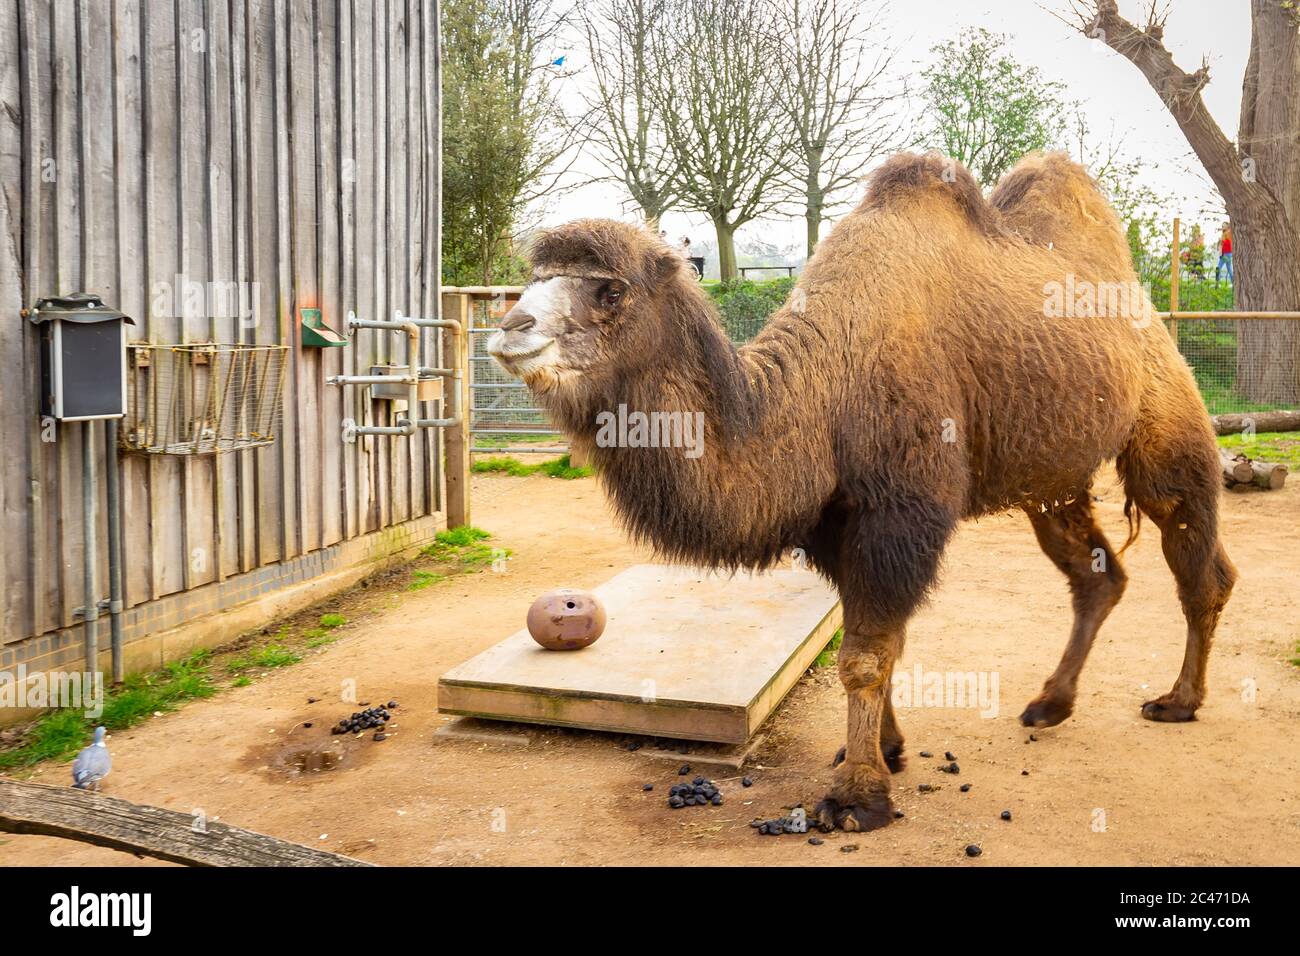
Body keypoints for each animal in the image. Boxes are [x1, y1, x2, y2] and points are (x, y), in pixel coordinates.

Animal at [487, 152, 1236, 832]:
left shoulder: (900, 511)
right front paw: (886, 751)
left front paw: (858, 797)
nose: (511, 326)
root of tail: (1143, 302)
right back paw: (1050, 704)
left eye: (610, 289)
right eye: (535, 279)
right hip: (1049, 481)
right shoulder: (833, 524)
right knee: (1097, 575)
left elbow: (864, 657)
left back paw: (1178, 700)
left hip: (1163, 417)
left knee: (1198, 559)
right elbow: (877, 642)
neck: (824, 392)